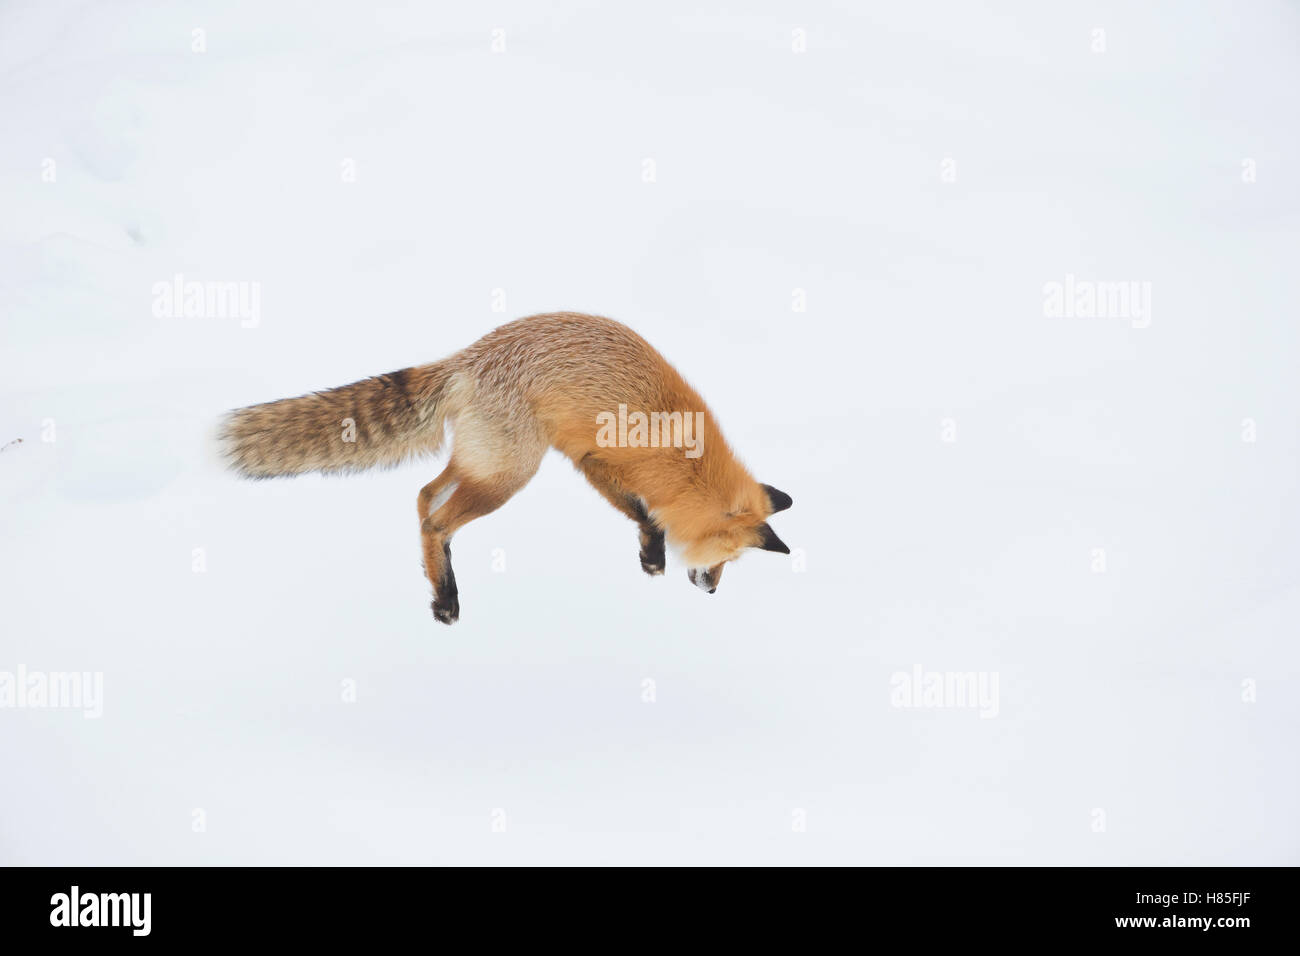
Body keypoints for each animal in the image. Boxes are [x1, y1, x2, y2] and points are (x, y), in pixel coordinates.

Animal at [219, 312, 793, 624]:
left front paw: (652, 555)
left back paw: (438, 581)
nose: (711, 591)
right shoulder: (596, 462)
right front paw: (654, 556)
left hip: (482, 463)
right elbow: (644, 513)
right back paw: (446, 600)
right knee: (436, 520)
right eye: (729, 559)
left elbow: (644, 514)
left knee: (424, 496)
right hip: (508, 474)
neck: (686, 462)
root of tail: (469, 357)